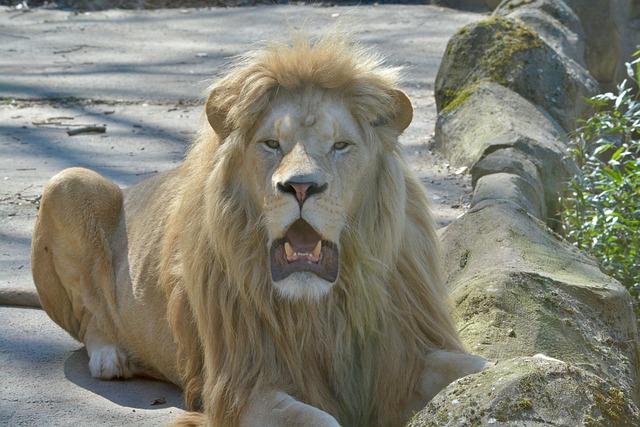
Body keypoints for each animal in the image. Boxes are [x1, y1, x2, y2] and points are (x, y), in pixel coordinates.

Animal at [28, 33, 491, 426]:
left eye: (341, 145)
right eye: (271, 144)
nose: (301, 186)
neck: (323, 309)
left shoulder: (402, 353)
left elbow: (479, 370)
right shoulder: (243, 386)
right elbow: (317, 419)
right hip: (68, 183)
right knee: (89, 318)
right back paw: (112, 357)